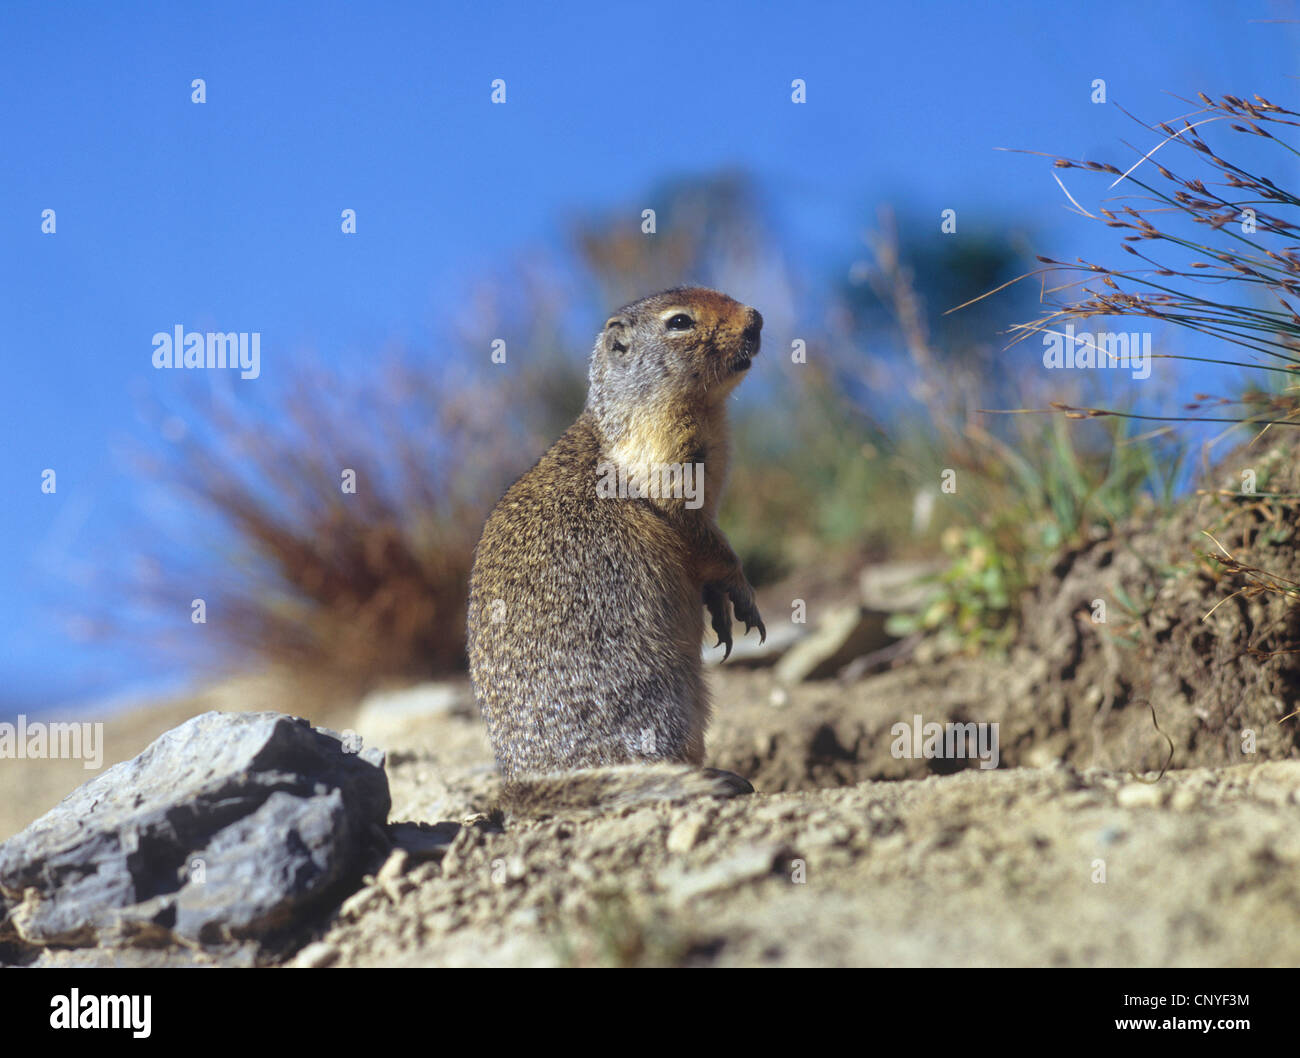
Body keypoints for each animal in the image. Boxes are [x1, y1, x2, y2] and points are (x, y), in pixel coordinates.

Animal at [467, 287, 766, 814]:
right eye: (680, 321)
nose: (757, 318)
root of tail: (521, 787)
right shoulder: (666, 462)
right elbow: (703, 539)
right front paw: (742, 592)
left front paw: (722, 608)